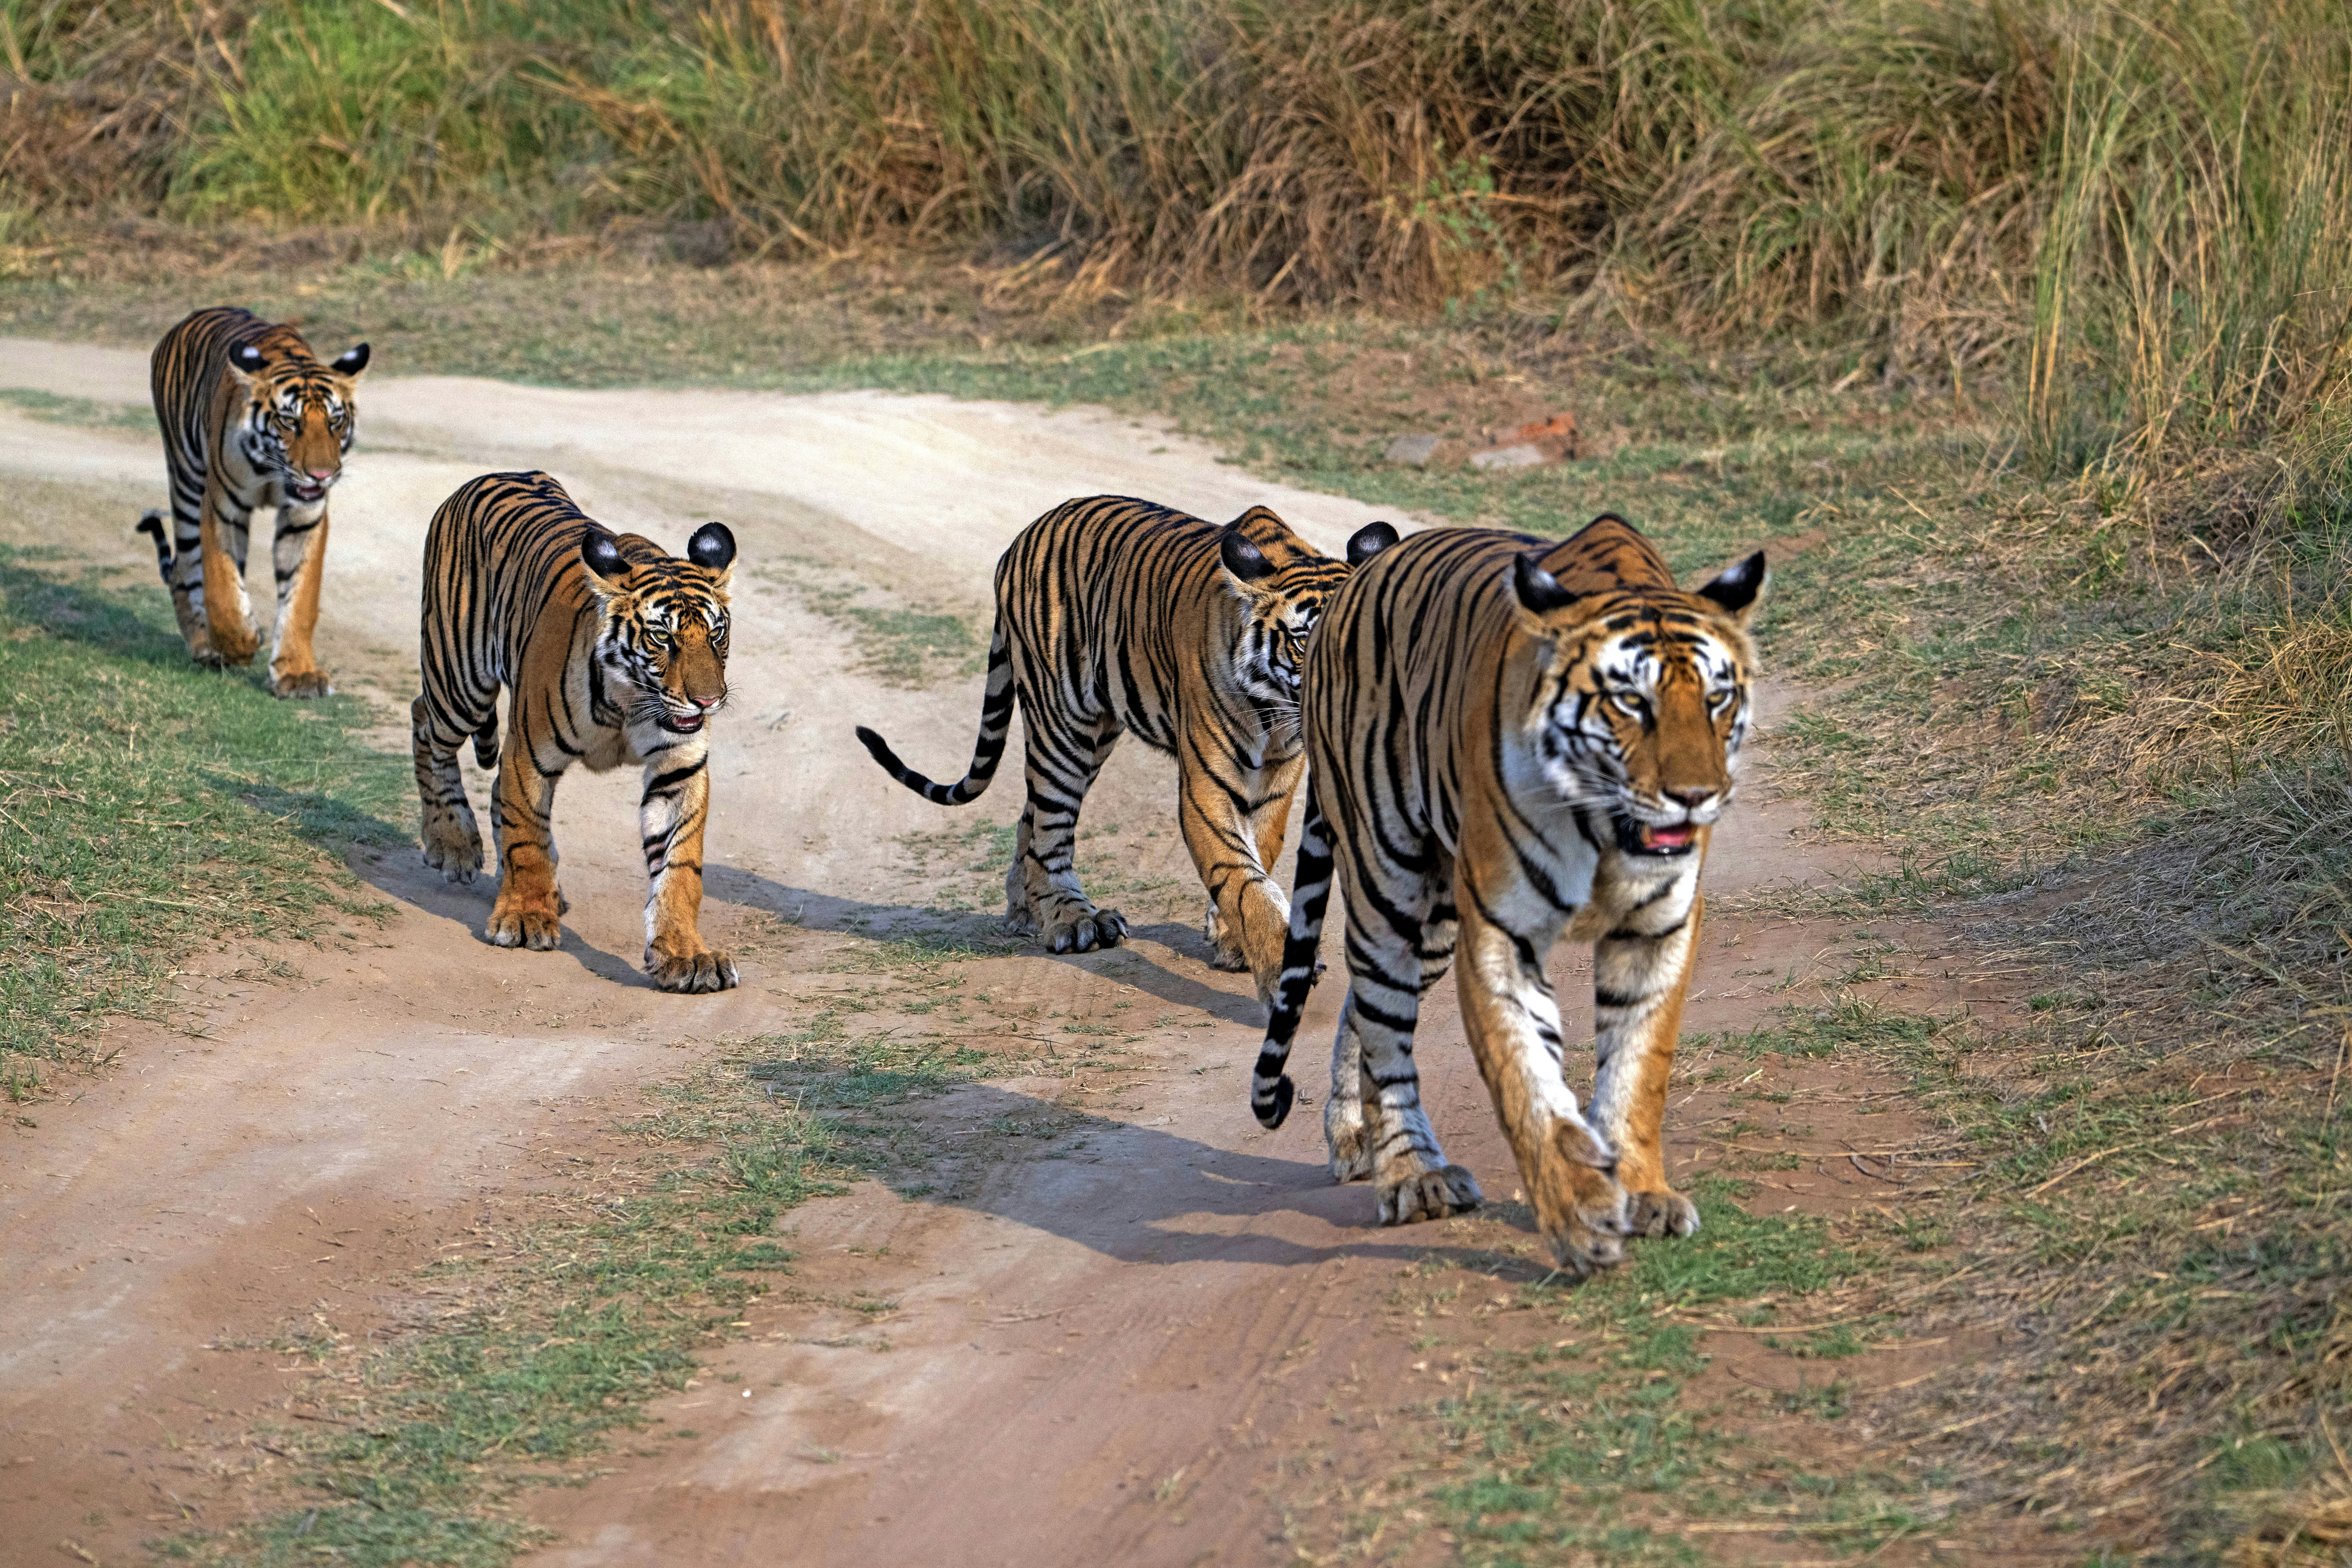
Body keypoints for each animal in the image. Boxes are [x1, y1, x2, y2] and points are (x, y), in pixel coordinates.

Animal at [134, 305, 370, 697]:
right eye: (290, 421)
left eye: (336, 421)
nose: (322, 475)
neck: (272, 472)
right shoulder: (221, 507)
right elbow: (222, 585)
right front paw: (240, 645)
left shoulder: (306, 515)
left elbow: (301, 599)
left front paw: (298, 675)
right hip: (185, 479)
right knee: (186, 568)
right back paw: (205, 646)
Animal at [410, 471, 742, 994]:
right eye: (662, 638)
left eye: (716, 634)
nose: (709, 701)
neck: (630, 702)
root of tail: (493, 475)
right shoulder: (528, 752)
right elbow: (527, 836)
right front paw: (525, 918)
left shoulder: (678, 767)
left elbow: (680, 866)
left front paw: (686, 955)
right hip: (459, 682)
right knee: (425, 722)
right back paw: (453, 845)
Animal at [856, 495, 1398, 998]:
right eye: (1306, 643)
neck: (1271, 711)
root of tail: (1021, 538)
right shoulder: (1206, 787)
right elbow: (1242, 878)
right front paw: (1276, 962)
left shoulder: (1279, 775)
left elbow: (1259, 852)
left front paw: (1231, 939)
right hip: (1062, 726)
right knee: (1050, 829)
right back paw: (1072, 921)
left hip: (1095, 736)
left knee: (1031, 817)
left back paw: (1025, 913)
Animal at [1246, 514, 1765, 1277]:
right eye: (1630, 702)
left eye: (1716, 698)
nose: (1696, 796)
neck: (1602, 824)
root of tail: (1352, 581)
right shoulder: (1500, 932)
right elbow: (1528, 1084)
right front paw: (1580, 1217)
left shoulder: (1658, 928)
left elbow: (1638, 1067)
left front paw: (1643, 1193)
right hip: (1390, 884)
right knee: (1384, 1022)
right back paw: (1413, 1176)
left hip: (1435, 922)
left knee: (1360, 1009)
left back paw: (1355, 1137)